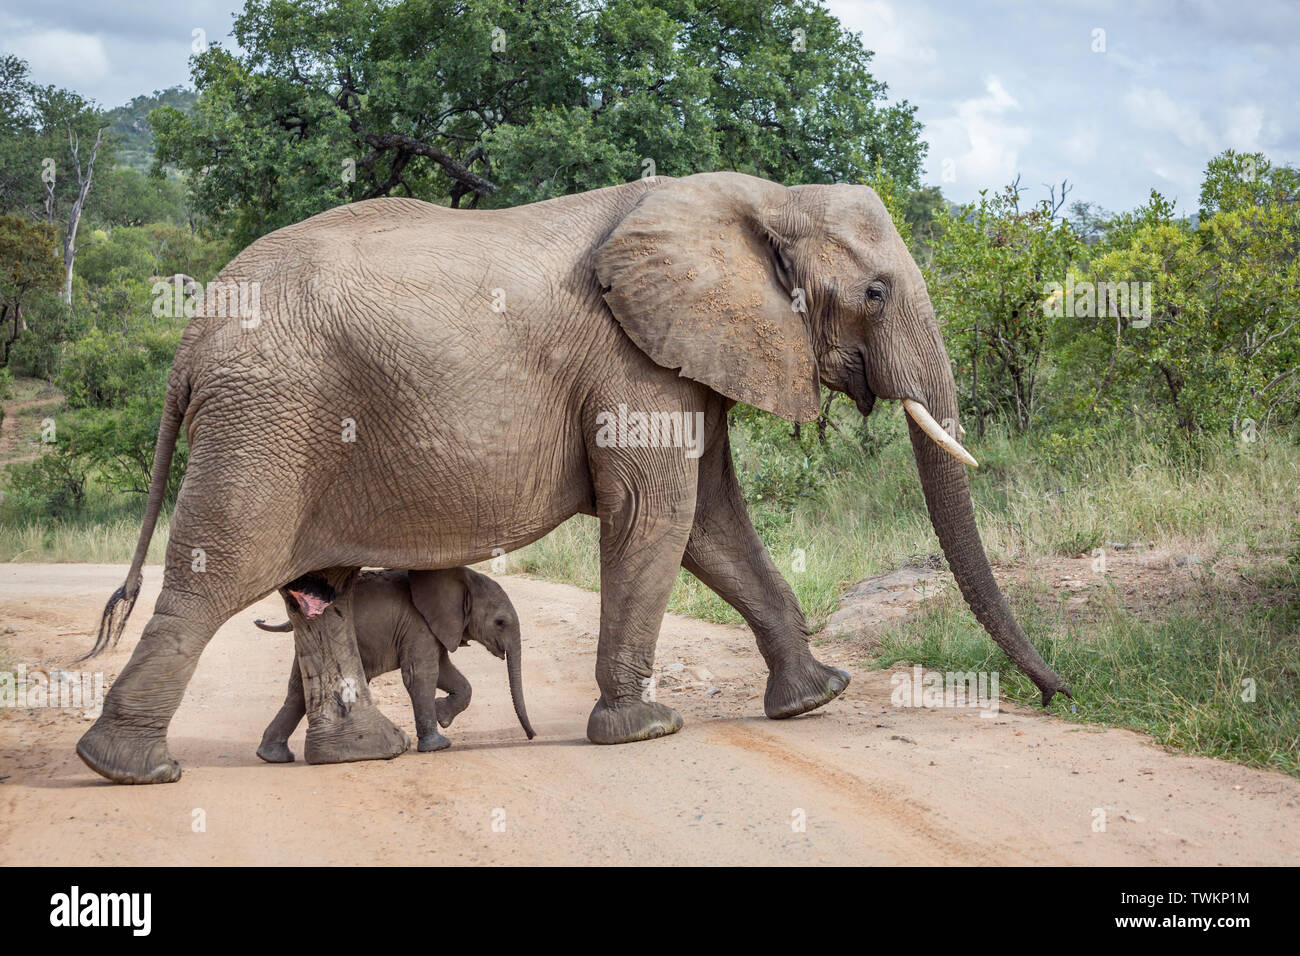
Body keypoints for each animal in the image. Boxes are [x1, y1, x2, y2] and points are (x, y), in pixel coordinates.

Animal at [254, 567, 535, 763]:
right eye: (500, 622)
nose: (531, 737)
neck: (461, 577)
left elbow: (446, 673)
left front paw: (442, 715)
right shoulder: (418, 624)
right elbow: (422, 674)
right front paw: (438, 744)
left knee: (298, 690)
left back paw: (272, 756)